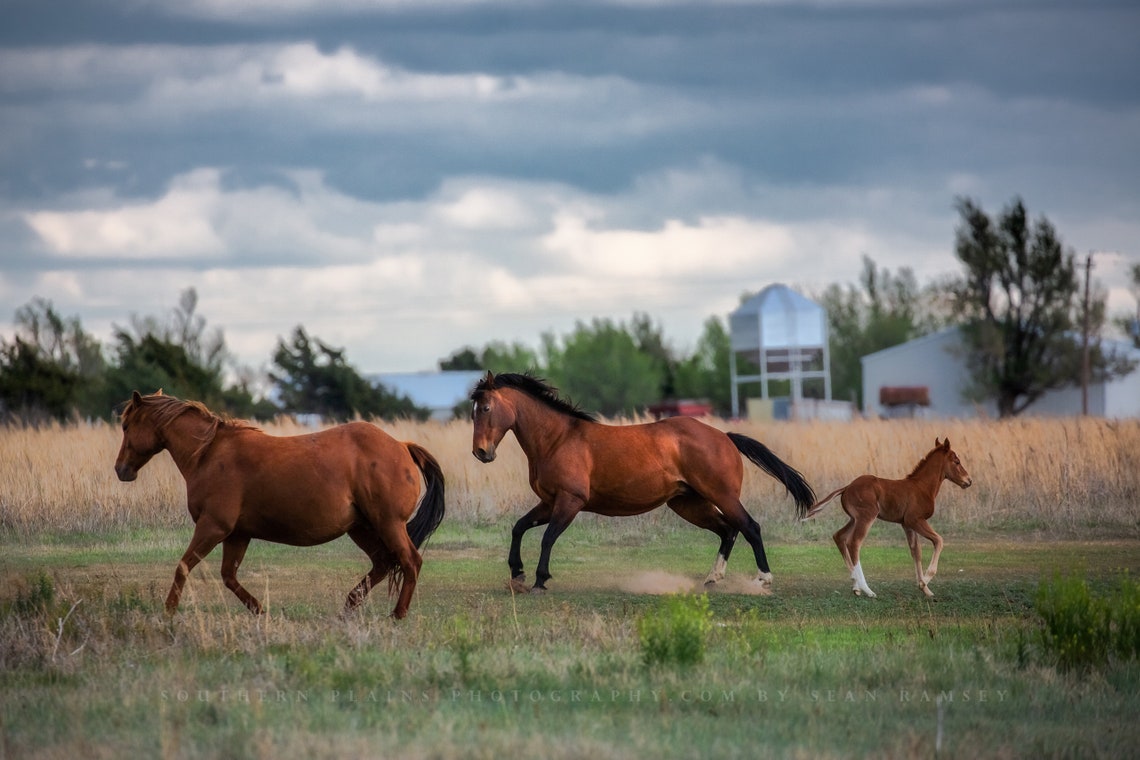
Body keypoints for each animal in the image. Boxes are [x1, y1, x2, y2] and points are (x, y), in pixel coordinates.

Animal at [114, 390, 446, 619]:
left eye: (127, 426)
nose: (121, 469)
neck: (208, 455)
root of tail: (402, 446)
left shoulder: (213, 527)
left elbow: (183, 567)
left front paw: (168, 611)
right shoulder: (237, 535)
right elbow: (229, 577)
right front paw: (260, 610)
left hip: (388, 524)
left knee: (410, 561)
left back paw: (397, 615)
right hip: (362, 527)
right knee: (383, 563)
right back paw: (348, 607)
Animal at [469, 372, 816, 594]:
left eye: (485, 408)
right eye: (472, 413)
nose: (481, 453)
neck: (557, 439)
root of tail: (725, 437)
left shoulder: (570, 502)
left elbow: (547, 538)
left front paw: (540, 580)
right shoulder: (549, 502)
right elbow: (519, 527)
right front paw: (517, 574)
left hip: (721, 495)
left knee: (749, 527)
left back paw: (763, 580)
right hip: (688, 503)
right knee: (728, 530)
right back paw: (712, 578)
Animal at [802, 437, 972, 598]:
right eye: (957, 461)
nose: (968, 481)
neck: (922, 487)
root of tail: (847, 487)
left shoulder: (906, 524)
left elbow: (916, 552)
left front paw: (926, 589)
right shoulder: (914, 520)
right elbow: (939, 540)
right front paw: (926, 580)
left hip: (854, 519)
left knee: (839, 536)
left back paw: (856, 587)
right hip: (867, 517)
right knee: (854, 543)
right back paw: (868, 590)